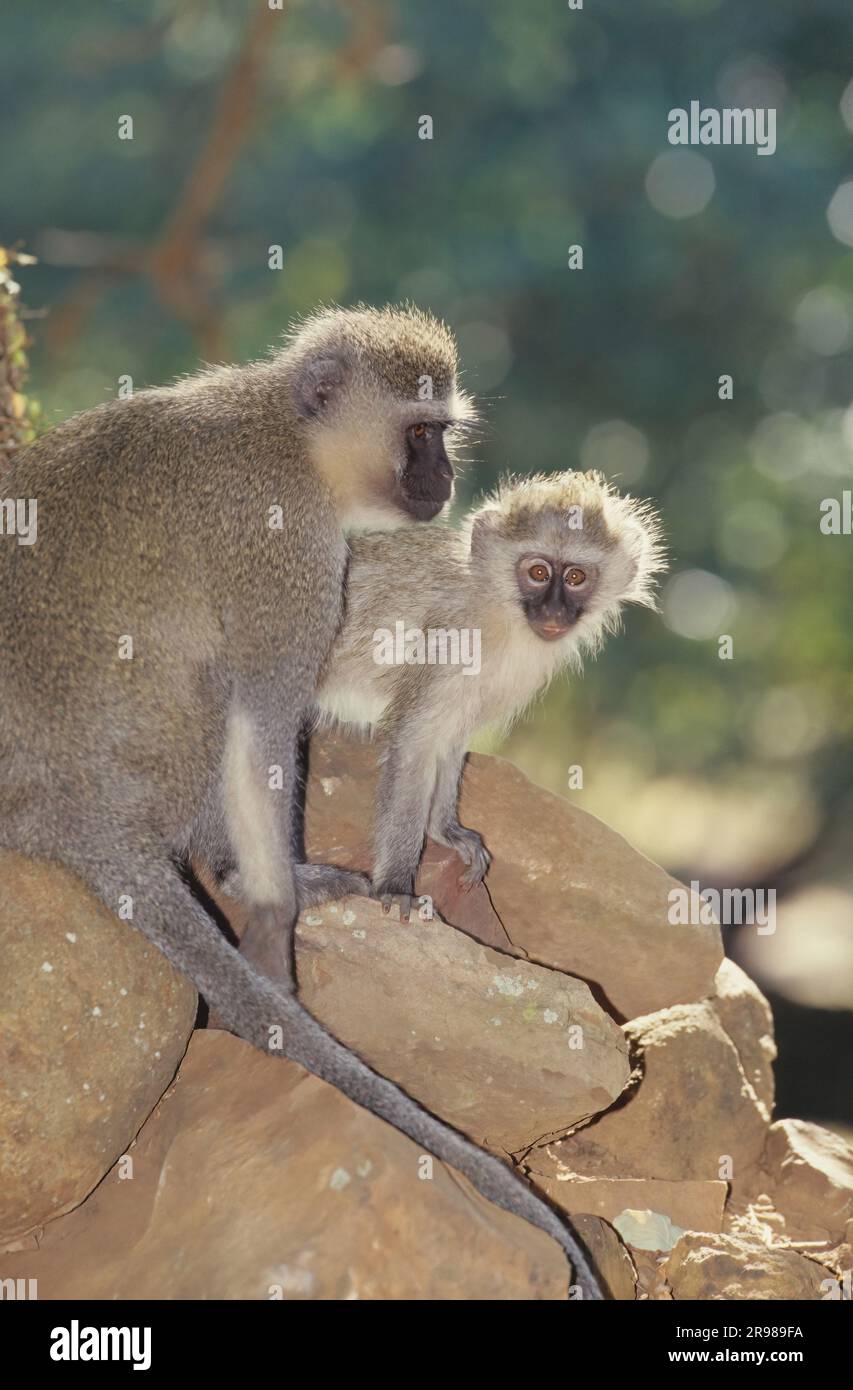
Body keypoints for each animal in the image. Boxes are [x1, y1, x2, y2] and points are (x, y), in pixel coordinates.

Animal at [0, 309, 605, 1299]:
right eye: (420, 432)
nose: (445, 478)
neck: (285, 435)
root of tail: (66, 814)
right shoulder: (290, 553)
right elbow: (262, 719)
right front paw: (277, 909)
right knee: (222, 703)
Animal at [315, 470, 666, 912]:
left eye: (575, 578)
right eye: (538, 573)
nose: (553, 612)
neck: (499, 609)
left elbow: (449, 738)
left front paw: (445, 831)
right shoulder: (452, 641)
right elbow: (415, 740)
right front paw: (396, 882)